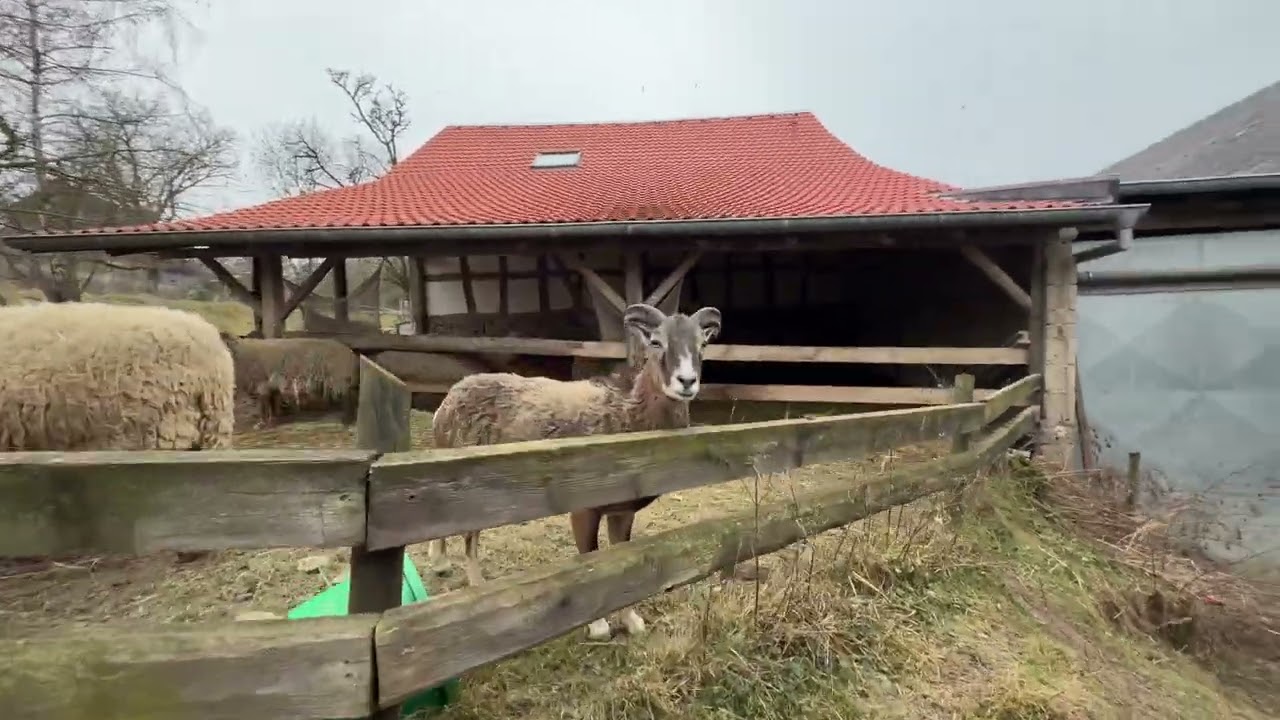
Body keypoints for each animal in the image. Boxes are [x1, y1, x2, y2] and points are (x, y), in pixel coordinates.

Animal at [220, 335, 359, 429]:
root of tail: (350, 353)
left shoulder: (262, 384)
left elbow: (264, 405)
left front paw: (262, 424)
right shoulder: (271, 386)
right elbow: (273, 403)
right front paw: (273, 420)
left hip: (339, 380)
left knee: (349, 398)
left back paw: (346, 421)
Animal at [428, 303, 722, 641]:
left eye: (702, 344)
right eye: (656, 342)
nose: (686, 381)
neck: (629, 416)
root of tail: (449, 399)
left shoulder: (621, 511)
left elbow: (623, 558)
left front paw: (631, 620)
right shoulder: (584, 509)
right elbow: (589, 558)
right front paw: (598, 627)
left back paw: (439, 563)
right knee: (469, 539)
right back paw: (476, 588)